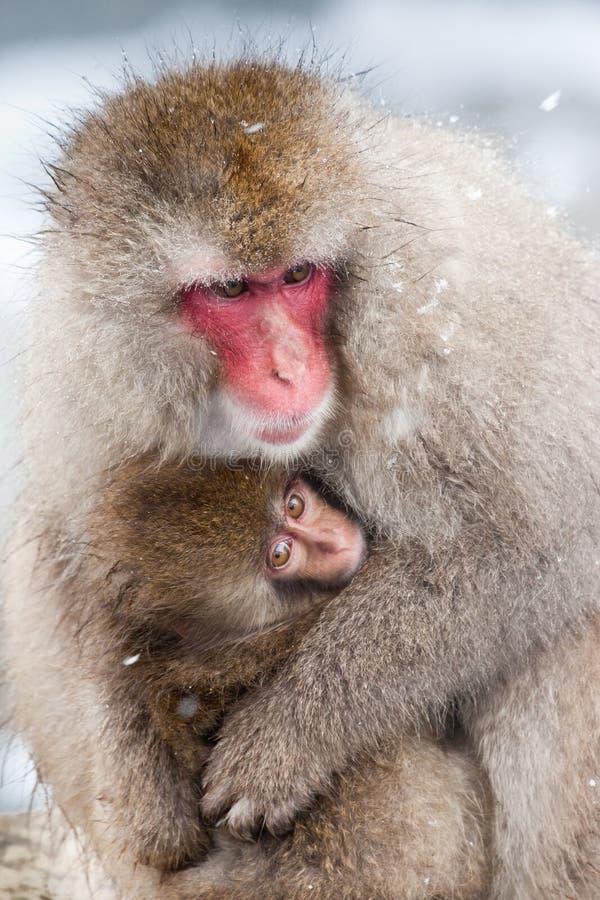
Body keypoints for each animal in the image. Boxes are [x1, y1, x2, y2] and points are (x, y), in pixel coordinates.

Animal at [3, 55, 600, 897]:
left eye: (297, 276)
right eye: (228, 290)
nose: (288, 367)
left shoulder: (450, 332)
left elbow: (532, 543)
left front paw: (288, 736)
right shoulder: (87, 377)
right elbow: (72, 575)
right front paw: (141, 773)